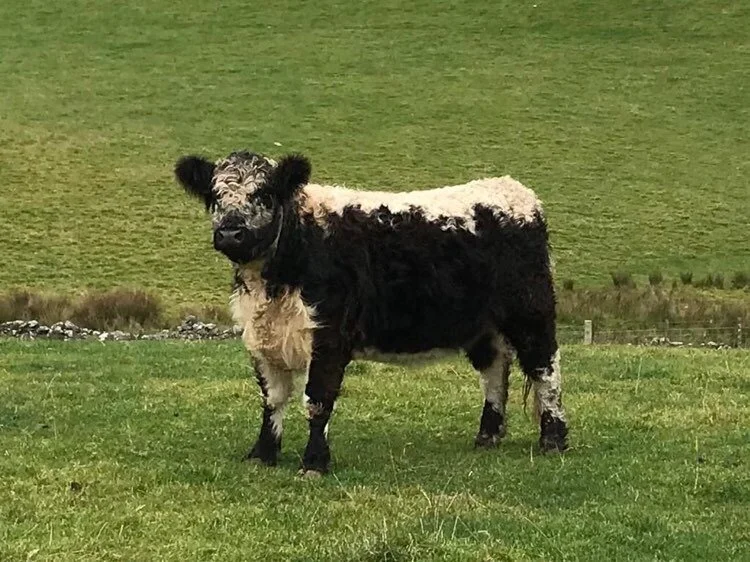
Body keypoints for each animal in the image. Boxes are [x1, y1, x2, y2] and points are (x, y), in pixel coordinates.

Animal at [174, 150, 568, 476]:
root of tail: (513, 190)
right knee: (494, 371)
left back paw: (554, 439)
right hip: (480, 325)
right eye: (214, 197)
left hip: (530, 312)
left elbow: (317, 400)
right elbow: (272, 399)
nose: (231, 233)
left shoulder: (329, 335)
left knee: (545, 369)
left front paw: (314, 463)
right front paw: (262, 455)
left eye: (264, 194)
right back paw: (487, 436)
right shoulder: (262, 338)